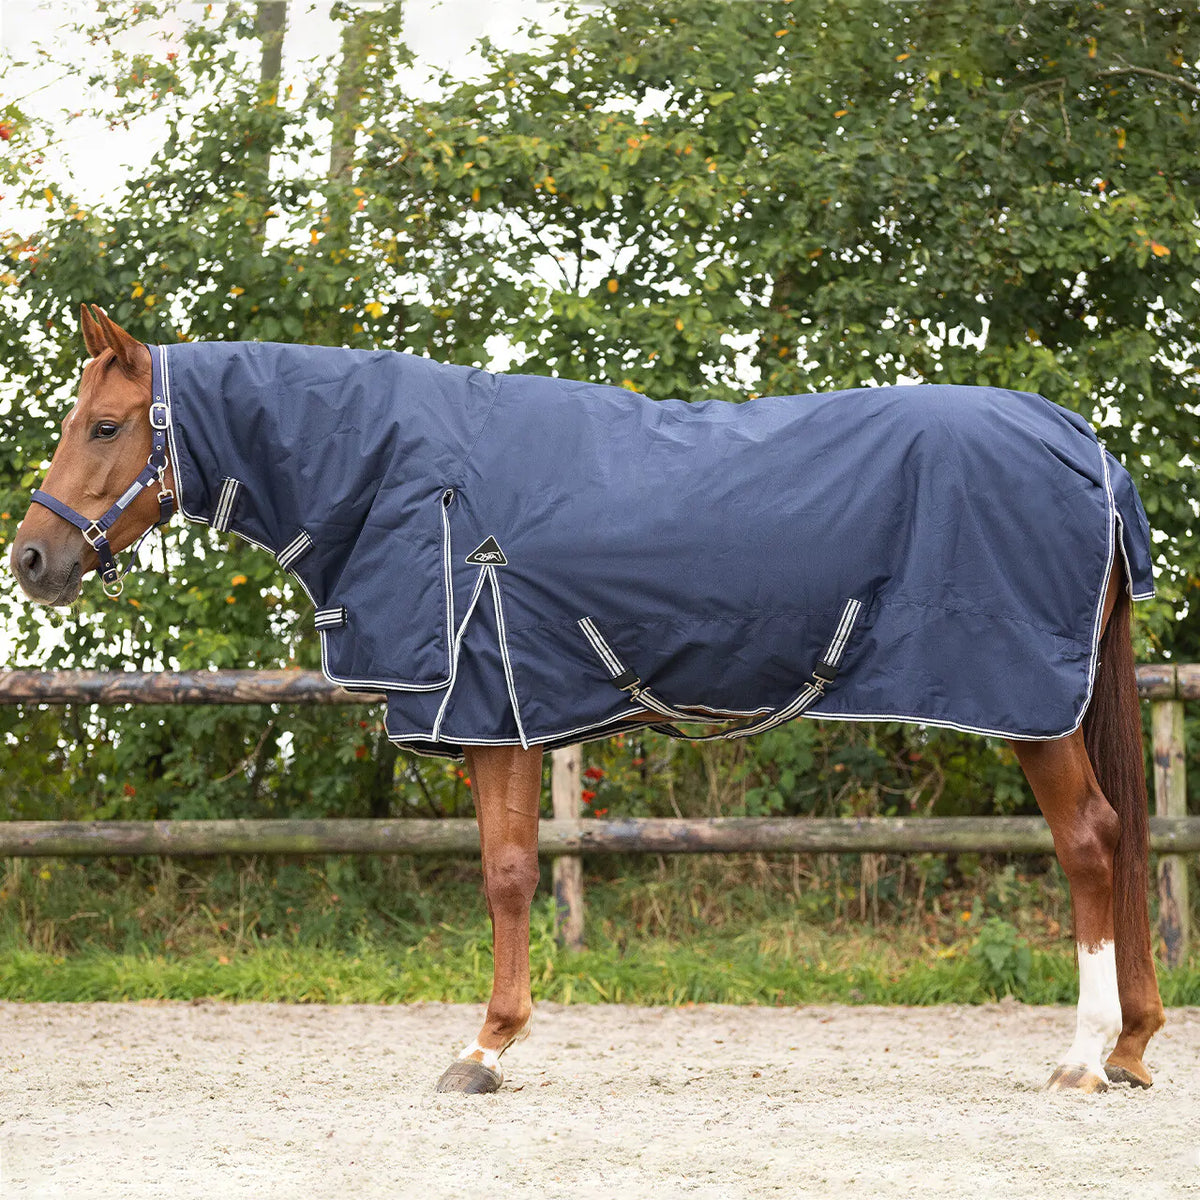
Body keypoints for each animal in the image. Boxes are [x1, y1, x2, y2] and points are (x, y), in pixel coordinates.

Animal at [10, 305, 1165, 1095]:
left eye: (106, 426)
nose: (31, 559)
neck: (409, 475)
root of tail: (1088, 447)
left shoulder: (498, 713)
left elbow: (510, 876)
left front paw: (483, 1047)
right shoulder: (505, 716)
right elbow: (508, 870)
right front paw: (492, 1045)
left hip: (1030, 710)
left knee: (1092, 842)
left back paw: (1082, 1056)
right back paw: (1135, 1044)